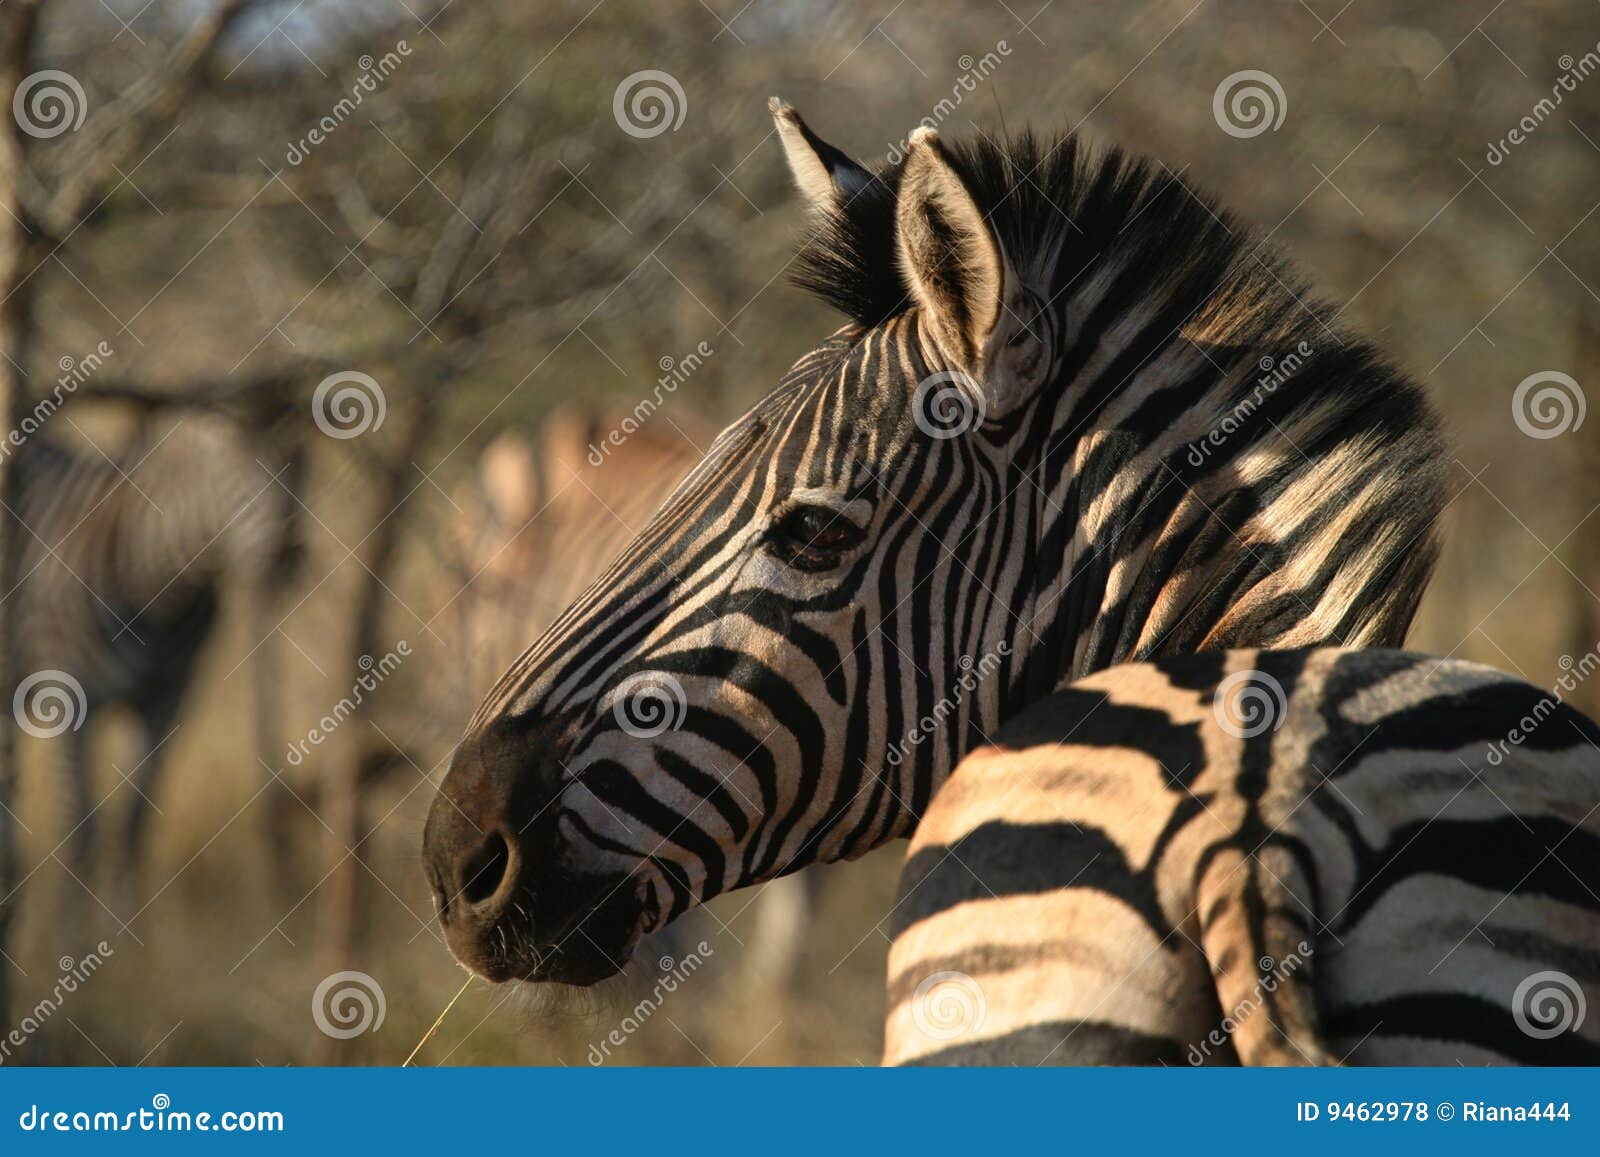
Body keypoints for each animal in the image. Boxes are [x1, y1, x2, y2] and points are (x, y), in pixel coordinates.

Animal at [7, 400, 304, 911]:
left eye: (301, 473)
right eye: (237, 477)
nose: (289, 555)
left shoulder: (166, 702)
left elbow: (132, 828)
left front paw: (127, 931)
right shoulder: (65, 698)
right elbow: (80, 832)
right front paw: (72, 934)